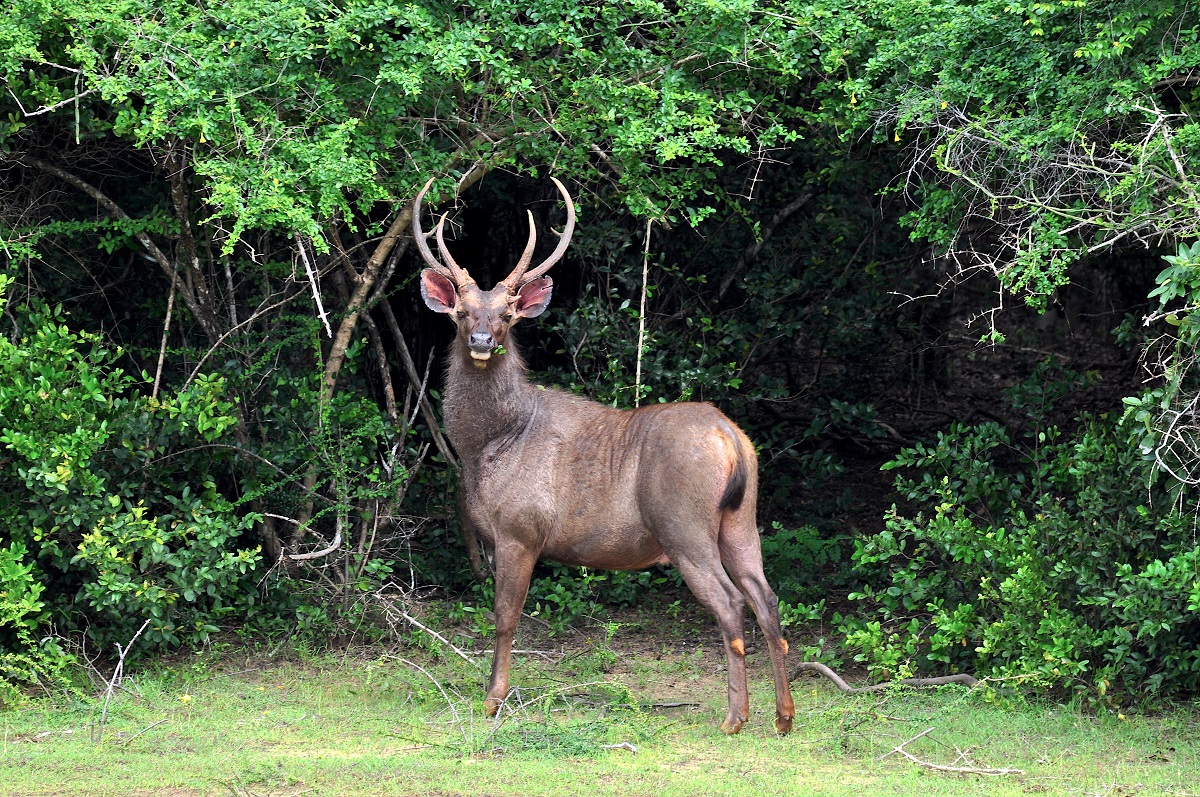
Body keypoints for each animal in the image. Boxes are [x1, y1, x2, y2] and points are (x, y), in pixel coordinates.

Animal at [413, 176, 795, 735]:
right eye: (462, 313)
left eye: (507, 315)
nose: (482, 339)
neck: (489, 446)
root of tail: (730, 437)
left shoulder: (520, 529)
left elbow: (505, 617)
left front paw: (493, 700)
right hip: (742, 519)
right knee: (767, 599)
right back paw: (784, 717)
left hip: (682, 522)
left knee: (730, 603)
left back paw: (735, 717)